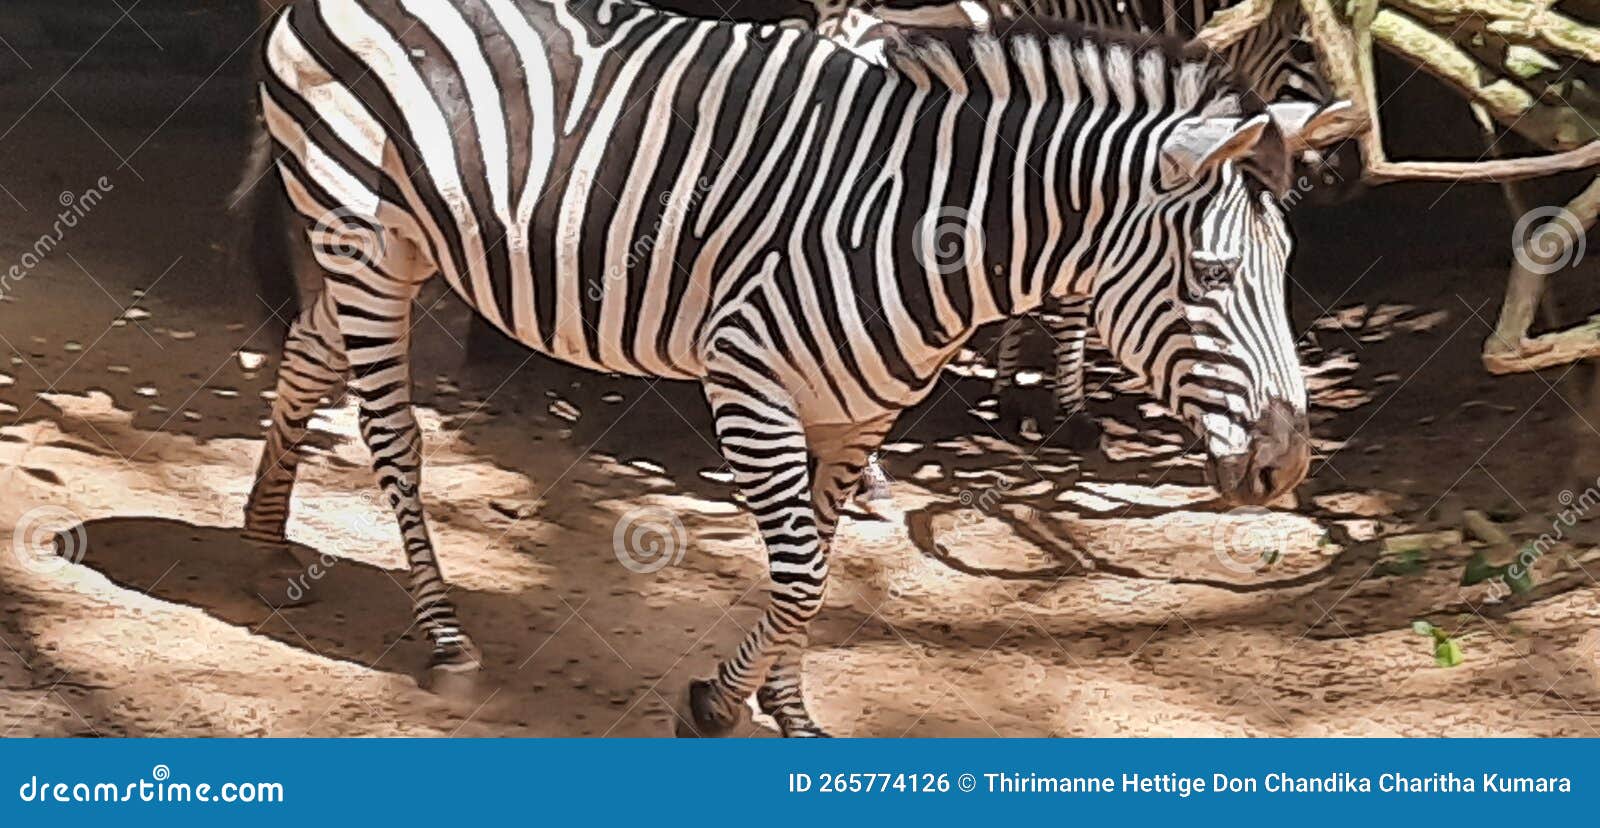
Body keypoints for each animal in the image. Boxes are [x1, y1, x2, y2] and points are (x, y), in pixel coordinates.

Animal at [244, 0, 1347, 736]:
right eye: (1209, 274)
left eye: (1284, 265)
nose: (1286, 468)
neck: (923, 223)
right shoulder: (748, 384)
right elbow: (806, 575)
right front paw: (717, 704)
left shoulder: (861, 411)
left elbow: (812, 560)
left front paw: (783, 710)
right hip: (360, 229)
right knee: (391, 434)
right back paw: (444, 641)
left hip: (392, 248)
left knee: (303, 358)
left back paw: (264, 547)